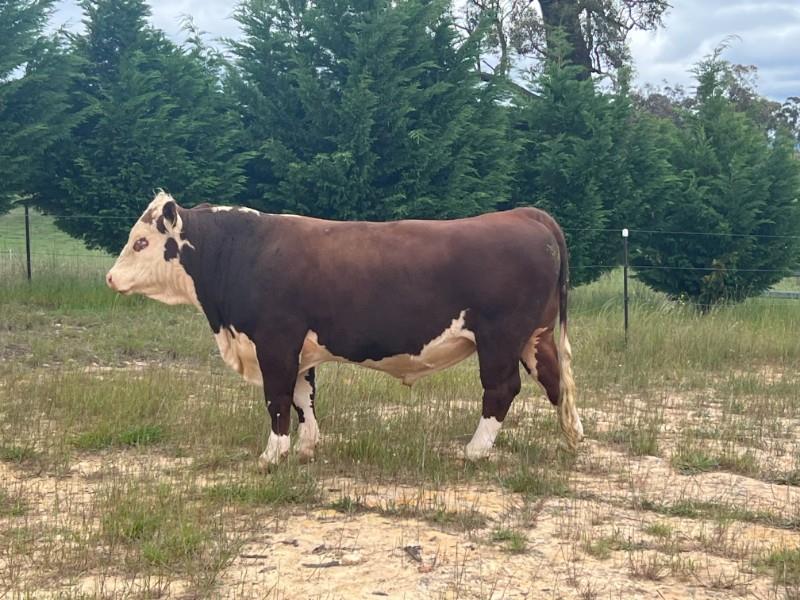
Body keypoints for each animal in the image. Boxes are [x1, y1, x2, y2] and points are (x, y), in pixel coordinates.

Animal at [106, 191, 584, 469]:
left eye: (141, 242)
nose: (111, 278)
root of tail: (524, 215)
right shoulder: (298, 348)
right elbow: (304, 397)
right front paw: (306, 447)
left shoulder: (274, 342)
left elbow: (277, 398)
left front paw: (271, 456)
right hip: (533, 336)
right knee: (556, 379)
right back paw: (571, 438)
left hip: (499, 337)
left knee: (502, 389)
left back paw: (475, 450)